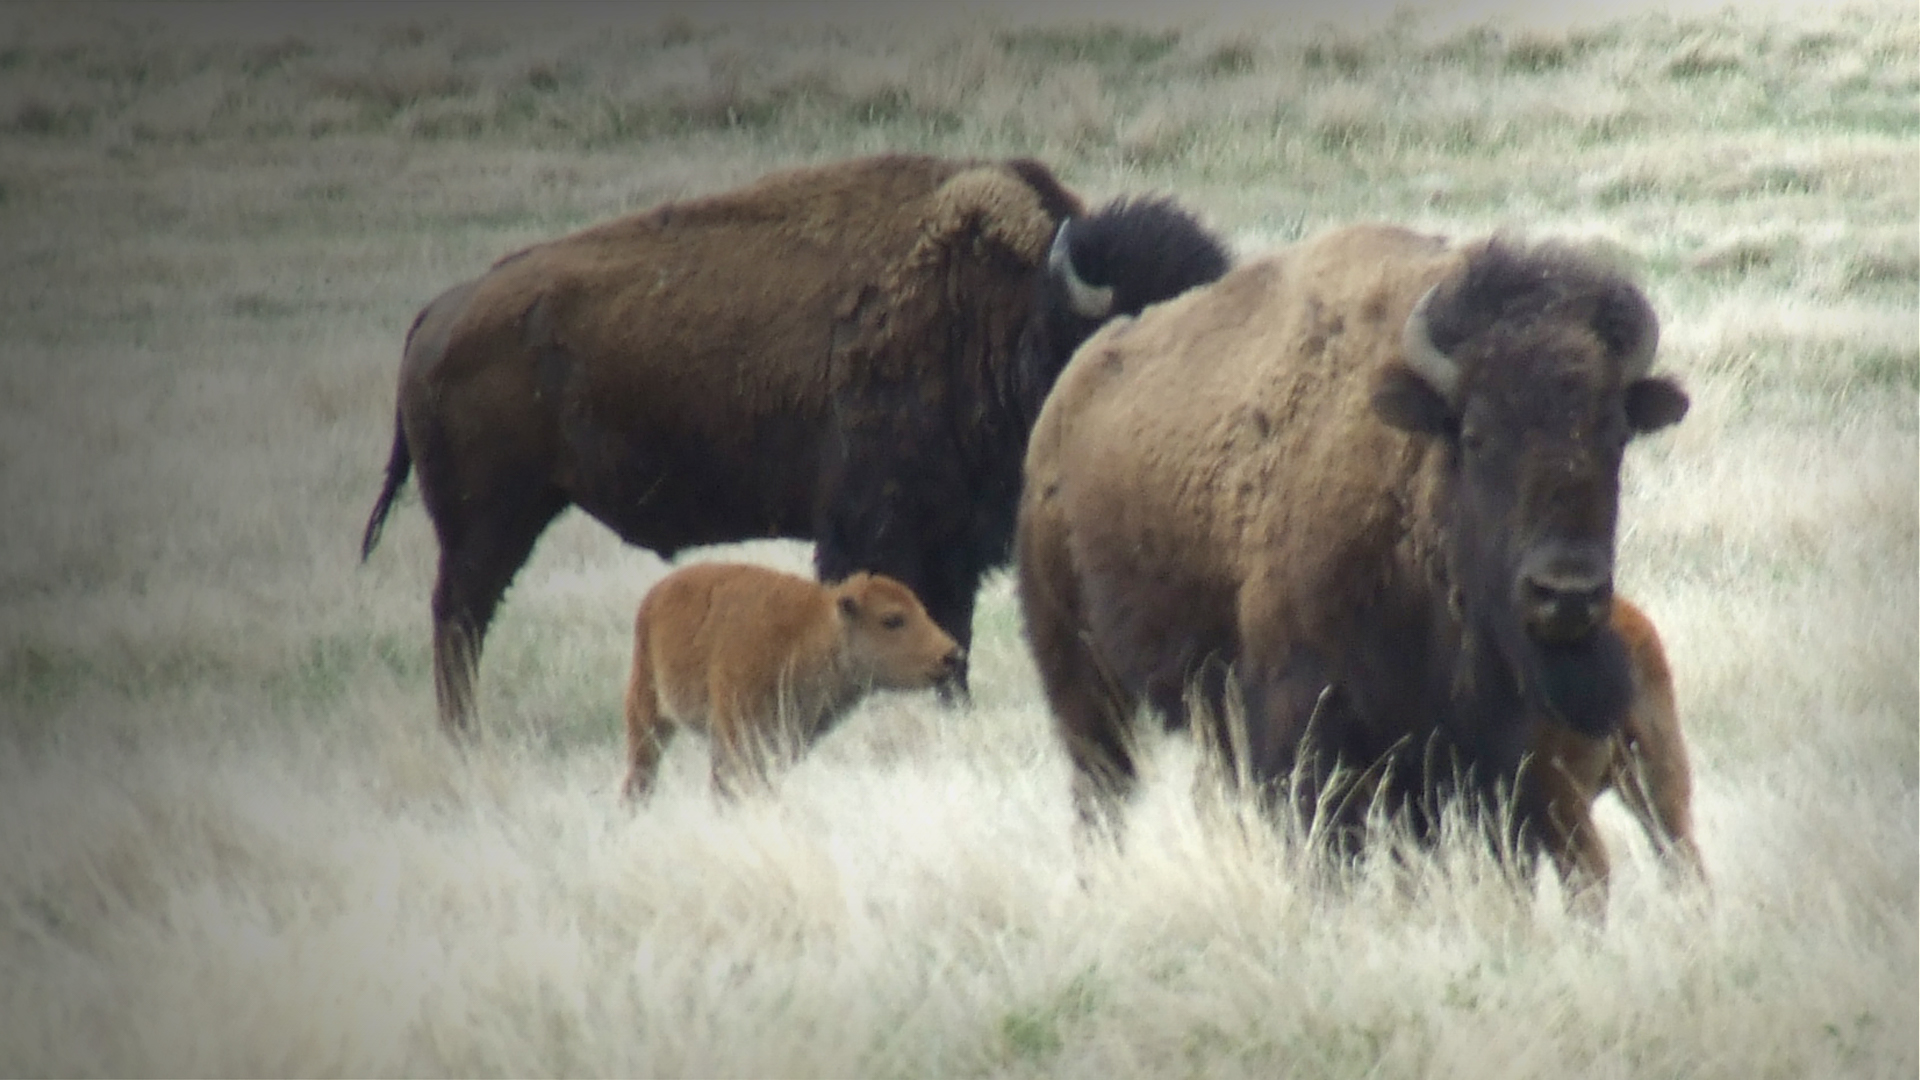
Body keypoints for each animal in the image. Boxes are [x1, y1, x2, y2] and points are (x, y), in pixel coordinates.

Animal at [361, 153, 1229, 735]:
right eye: (1140, 330)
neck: (1003, 315)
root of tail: (437, 315)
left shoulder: (952, 540)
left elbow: (952, 631)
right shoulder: (878, 528)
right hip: (488, 521)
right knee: (461, 618)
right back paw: (464, 735)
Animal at [1017, 223, 1689, 886]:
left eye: (1617, 435)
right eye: (1475, 436)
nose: (1566, 593)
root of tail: (1067, 396)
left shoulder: (1480, 748)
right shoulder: (1306, 722)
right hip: (1081, 677)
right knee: (1102, 785)